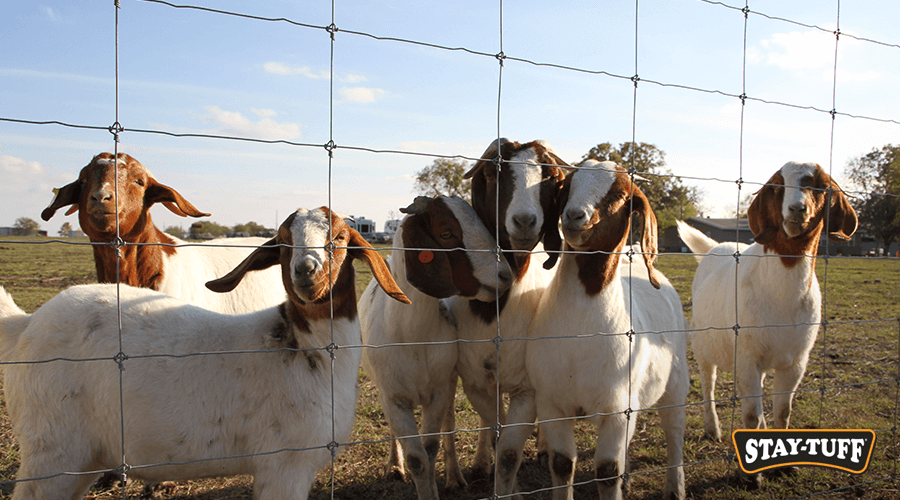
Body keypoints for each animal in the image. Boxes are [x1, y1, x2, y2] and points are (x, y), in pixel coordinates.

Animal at [0, 207, 410, 500]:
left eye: (340, 237)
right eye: (282, 241)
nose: (306, 272)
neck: (308, 347)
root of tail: (26, 323)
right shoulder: (284, 465)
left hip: (81, 458)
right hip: (52, 448)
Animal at [358, 195, 513, 500]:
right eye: (446, 233)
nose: (505, 275)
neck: (413, 335)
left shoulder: (439, 390)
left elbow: (430, 449)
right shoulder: (393, 397)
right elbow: (416, 458)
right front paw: (404, 469)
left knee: (451, 424)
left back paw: (459, 475)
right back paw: (394, 466)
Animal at [447, 138, 567, 495]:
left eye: (551, 177)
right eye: (490, 173)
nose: (525, 221)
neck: (494, 312)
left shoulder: (527, 388)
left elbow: (510, 453)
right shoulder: (474, 380)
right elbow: (495, 432)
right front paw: (488, 468)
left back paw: (544, 449)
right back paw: (478, 465)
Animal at [526, 160, 689, 500]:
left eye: (619, 195)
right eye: (567, 187)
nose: (574, 216)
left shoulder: (616, 409)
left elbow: (606, 470)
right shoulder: (552, 403)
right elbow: (562, 463)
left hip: (676, 381)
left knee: (674, 431)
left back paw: (675, 487)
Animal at [676, 162, 858, 447]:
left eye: (820, 186)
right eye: (776, 186)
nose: (797, 209)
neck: (782, 297)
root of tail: (718, 246)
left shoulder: (795, 362)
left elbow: (783, 412)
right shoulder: (747, 357)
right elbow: (751, 415)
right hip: (703, 345)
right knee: (708, 383)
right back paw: (712, 428)